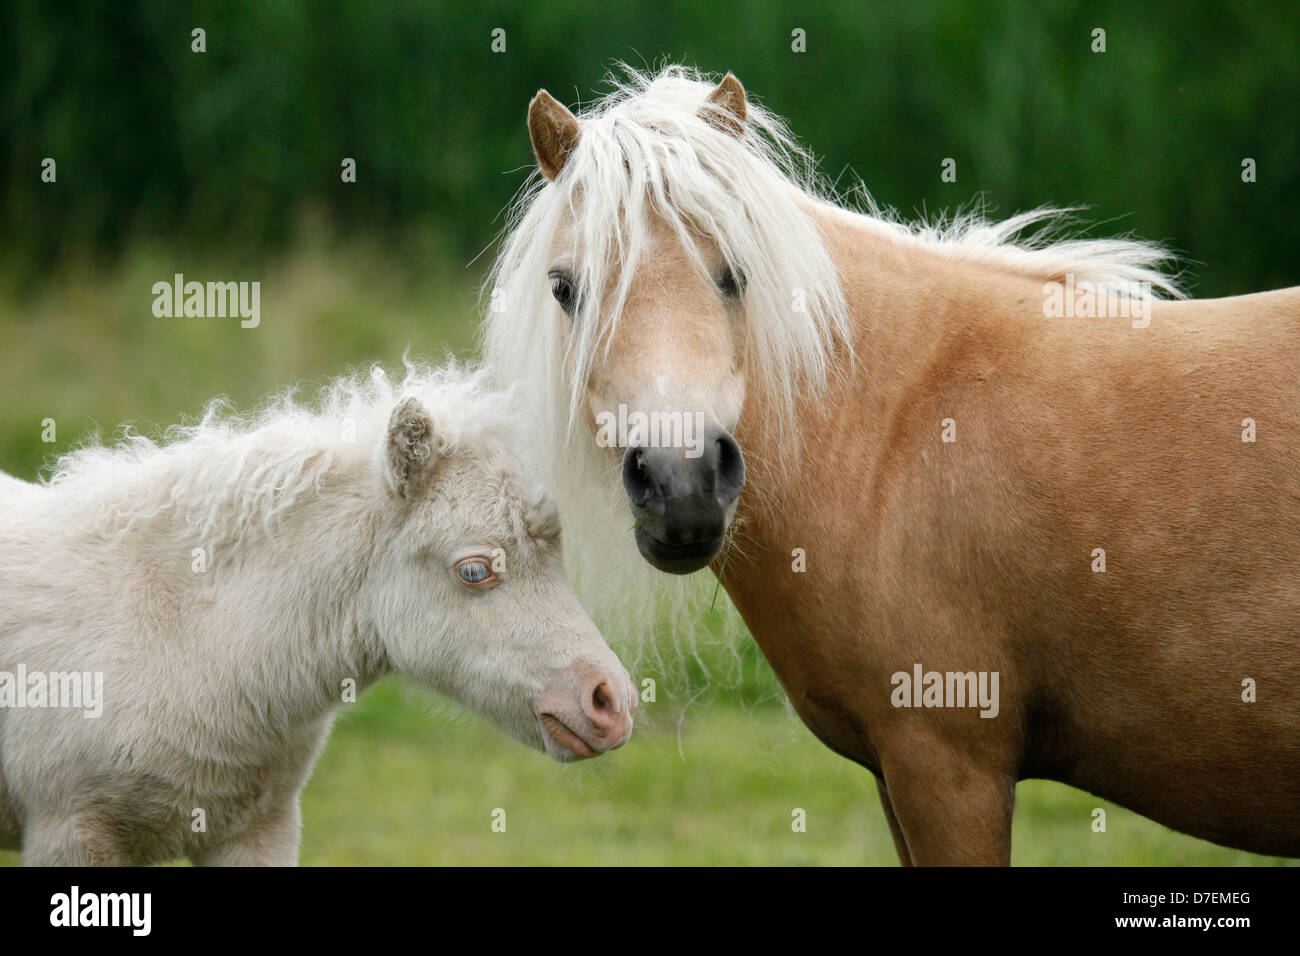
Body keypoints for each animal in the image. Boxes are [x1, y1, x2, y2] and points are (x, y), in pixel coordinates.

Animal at [484, 65, 1300, 864]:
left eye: (736, 273)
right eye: (565, 289)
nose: (683, 486)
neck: (901, 425)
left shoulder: (948, 768)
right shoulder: (897, 774)